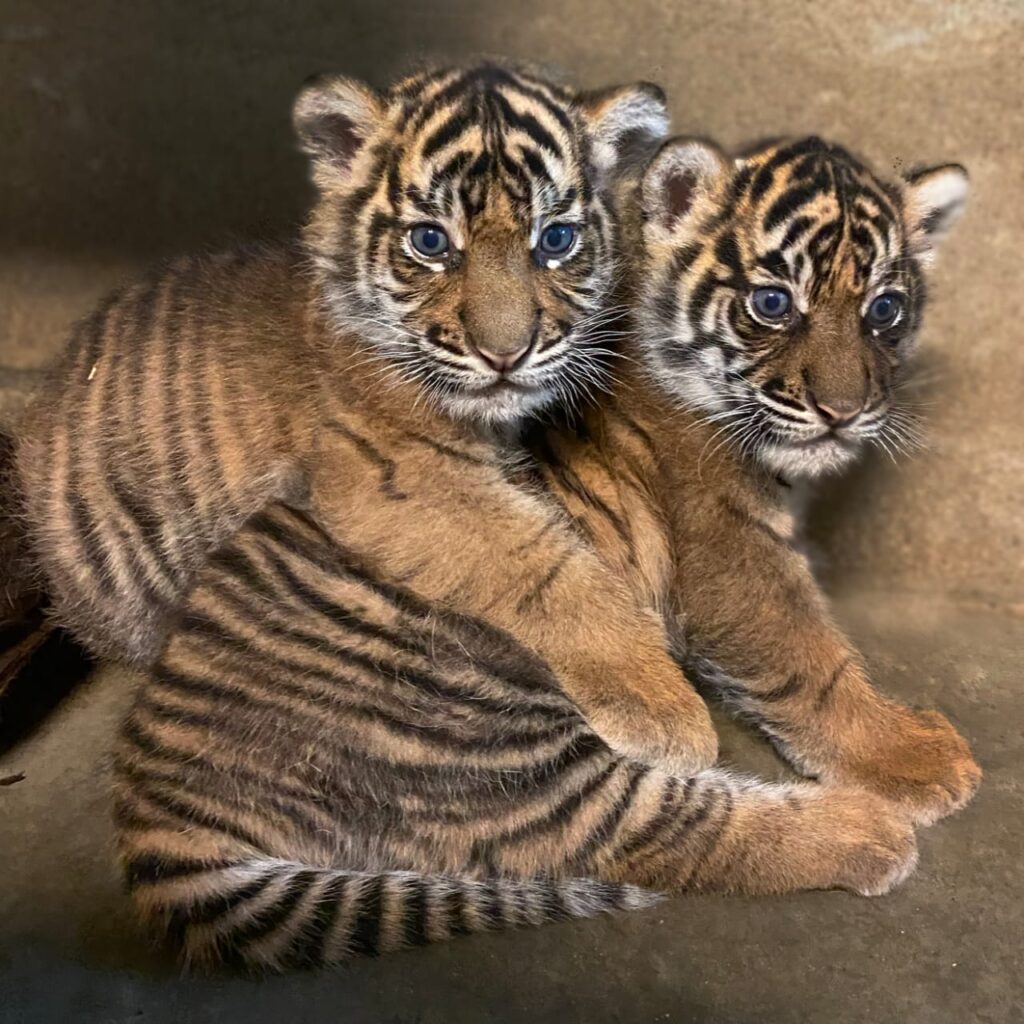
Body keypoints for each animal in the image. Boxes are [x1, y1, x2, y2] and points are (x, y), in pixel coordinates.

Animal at [13, 62, 721, 778]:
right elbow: (550, 568)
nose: (505, 354)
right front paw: (668, 708)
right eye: (430, 242)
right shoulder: (405, 481)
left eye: (555, 240)